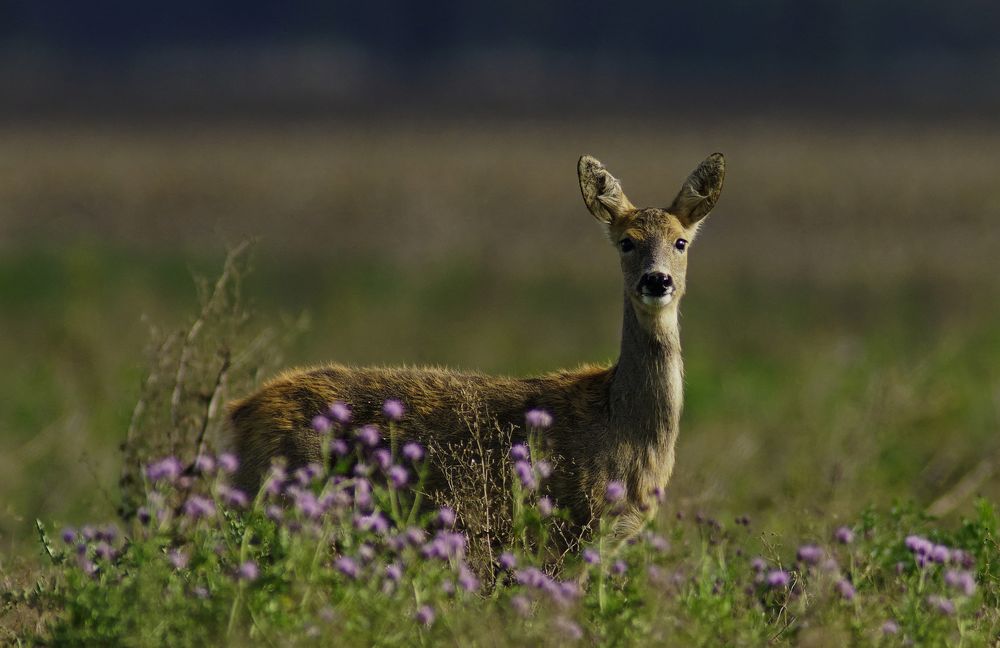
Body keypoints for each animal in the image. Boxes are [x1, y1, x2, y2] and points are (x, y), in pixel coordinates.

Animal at [227, 153, 725, 540]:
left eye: (681, 241)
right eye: (626, 242)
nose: (657, 280)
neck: (619, 422)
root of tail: (239, 412)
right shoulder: (572, 525)